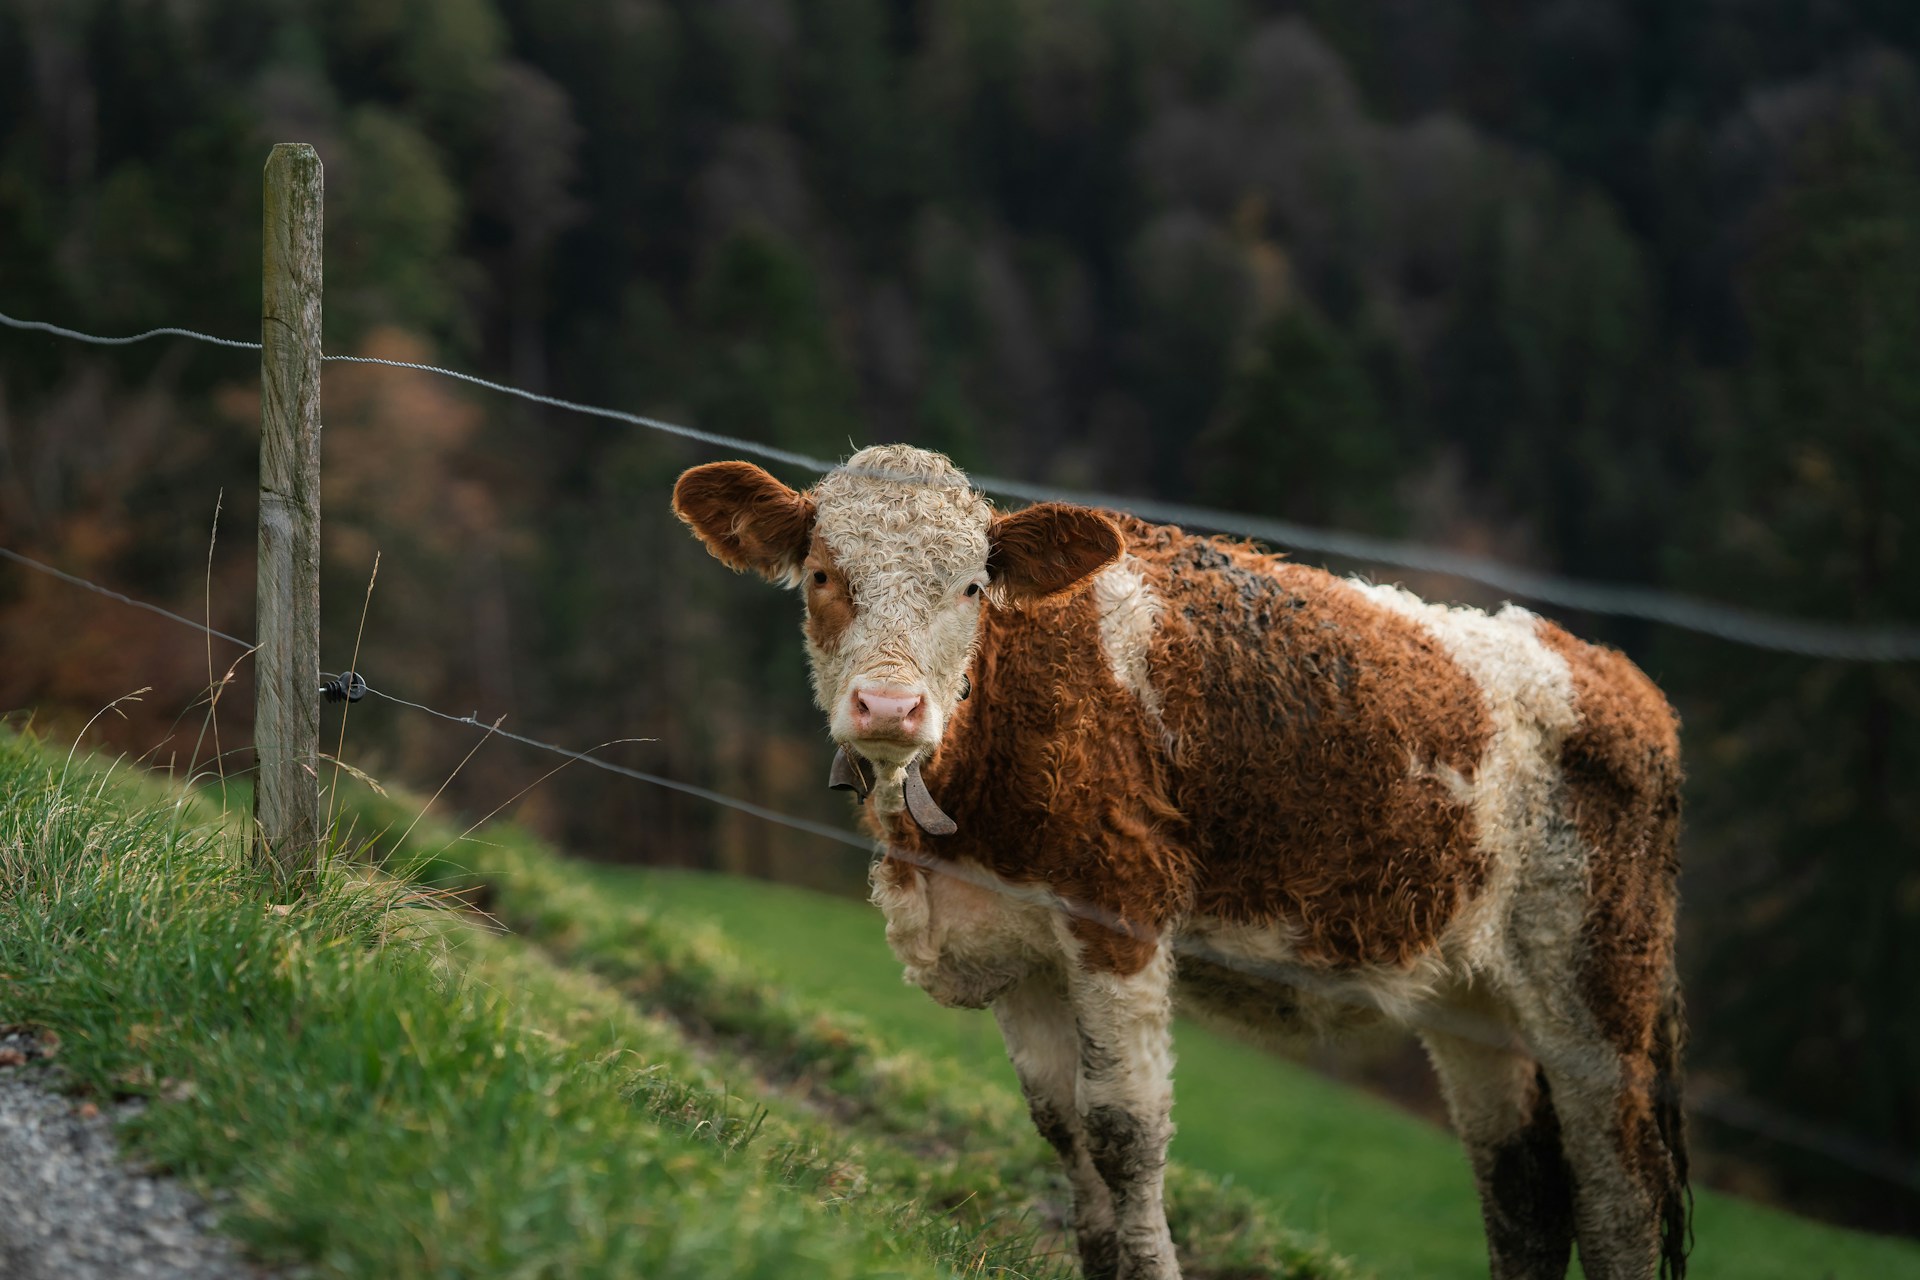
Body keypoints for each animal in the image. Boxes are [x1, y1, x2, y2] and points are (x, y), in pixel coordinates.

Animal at [673, 444, 1690, 1280]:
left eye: (969, 588)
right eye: (821, 573)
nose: (889, 707)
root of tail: (1614, 674)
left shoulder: (1116, 911)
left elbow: (1124, 1132)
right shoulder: (1017, 944)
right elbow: (1063, 1128)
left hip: (1598, 999)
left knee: (1619, 1204)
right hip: (1475, 1008)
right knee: (1521, 1195)